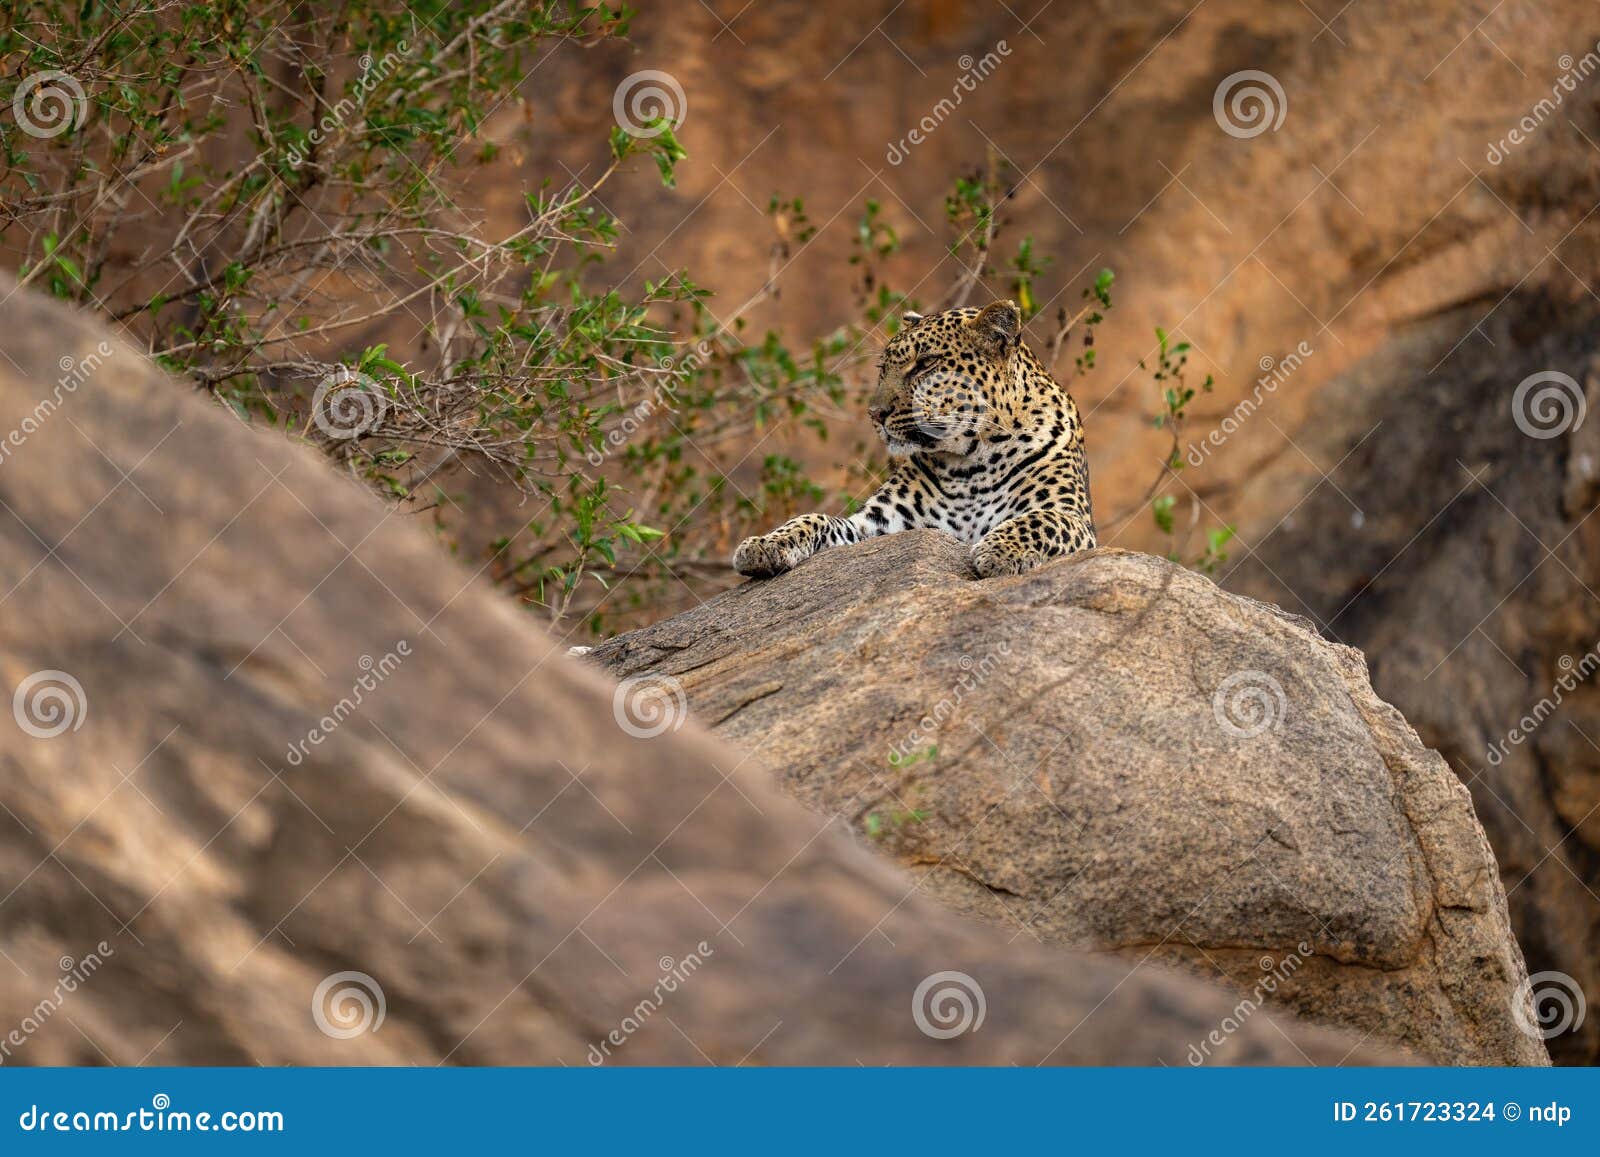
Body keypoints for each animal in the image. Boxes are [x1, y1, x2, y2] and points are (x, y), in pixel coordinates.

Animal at [732, 299, 1097, 580]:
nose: (875, 413)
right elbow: (816, 518)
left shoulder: (1077, 521)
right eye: (883, 368)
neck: (970, 464)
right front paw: (764, 544)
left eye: (925, 364)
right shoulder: (878, 527)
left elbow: (1042, 520)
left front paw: (997, 550)